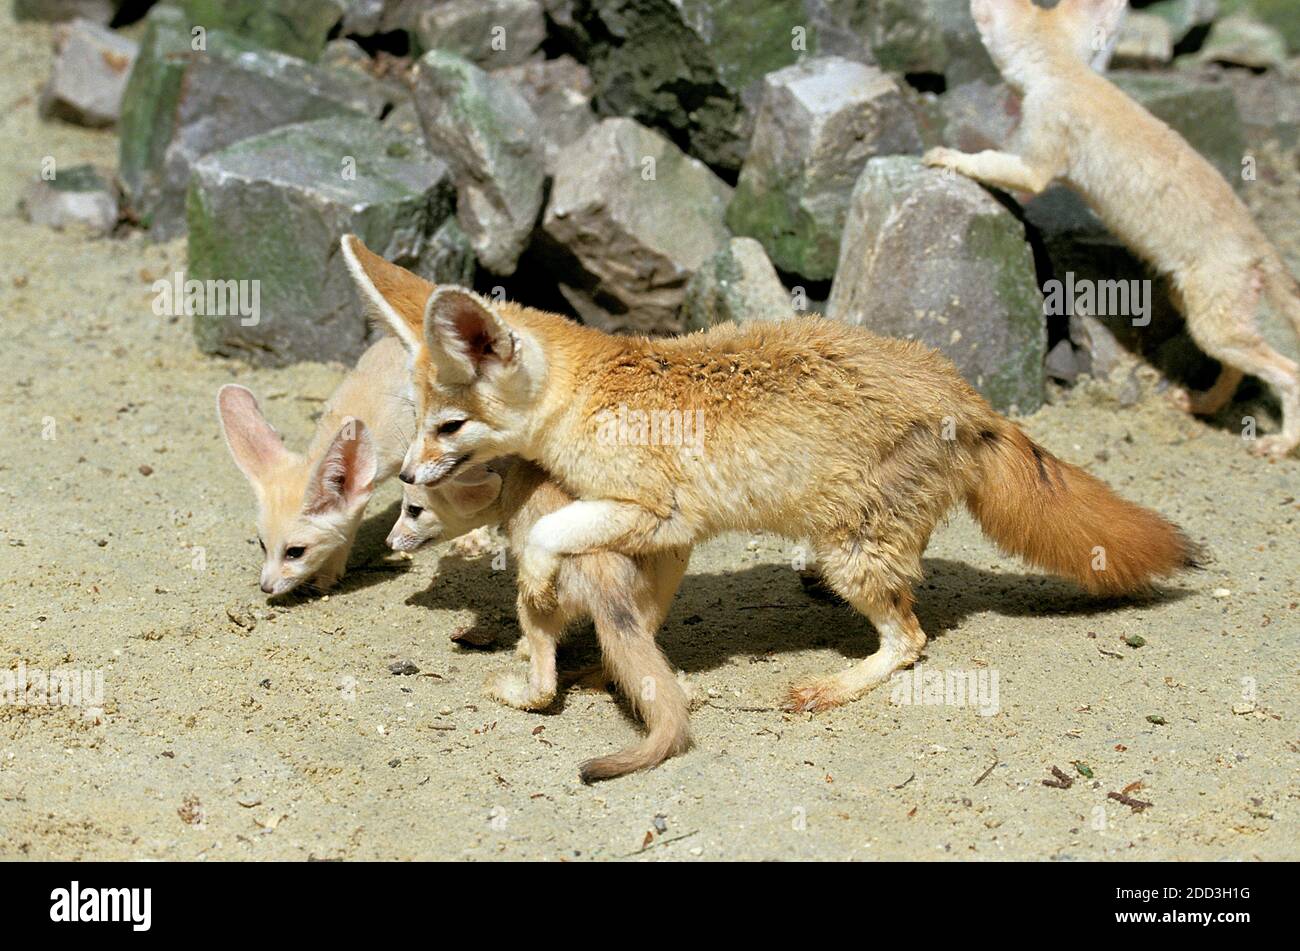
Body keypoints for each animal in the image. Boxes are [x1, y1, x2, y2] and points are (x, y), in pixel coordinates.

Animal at [340, 234, 1200, 714]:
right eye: (418, 418)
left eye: (450, 427)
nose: (407, 473)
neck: (592, 390)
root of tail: (967, 393)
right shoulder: (675, 539)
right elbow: (644, 611)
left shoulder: (659, 509)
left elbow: (550, 533)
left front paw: (540, 597)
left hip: (852, 554)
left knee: (911, 640)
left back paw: (833, 686)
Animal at [389, 458, 692, 782]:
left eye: (413, 510)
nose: (389, 541)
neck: (510, 470)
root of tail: (604, 574)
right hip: (652, 591)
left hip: (530, 603)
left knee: (544, 690)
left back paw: (507, 686)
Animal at [922, 0, 1300, 459]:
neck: (1070, 72)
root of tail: (1260, 241)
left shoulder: (1036, 159)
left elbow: (994, 162)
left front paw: (948, 156)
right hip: (1200, 311)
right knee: (1238, 367)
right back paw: (1203, 402)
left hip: (1216, 324)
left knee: (1289, 371)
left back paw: (1282, 442)